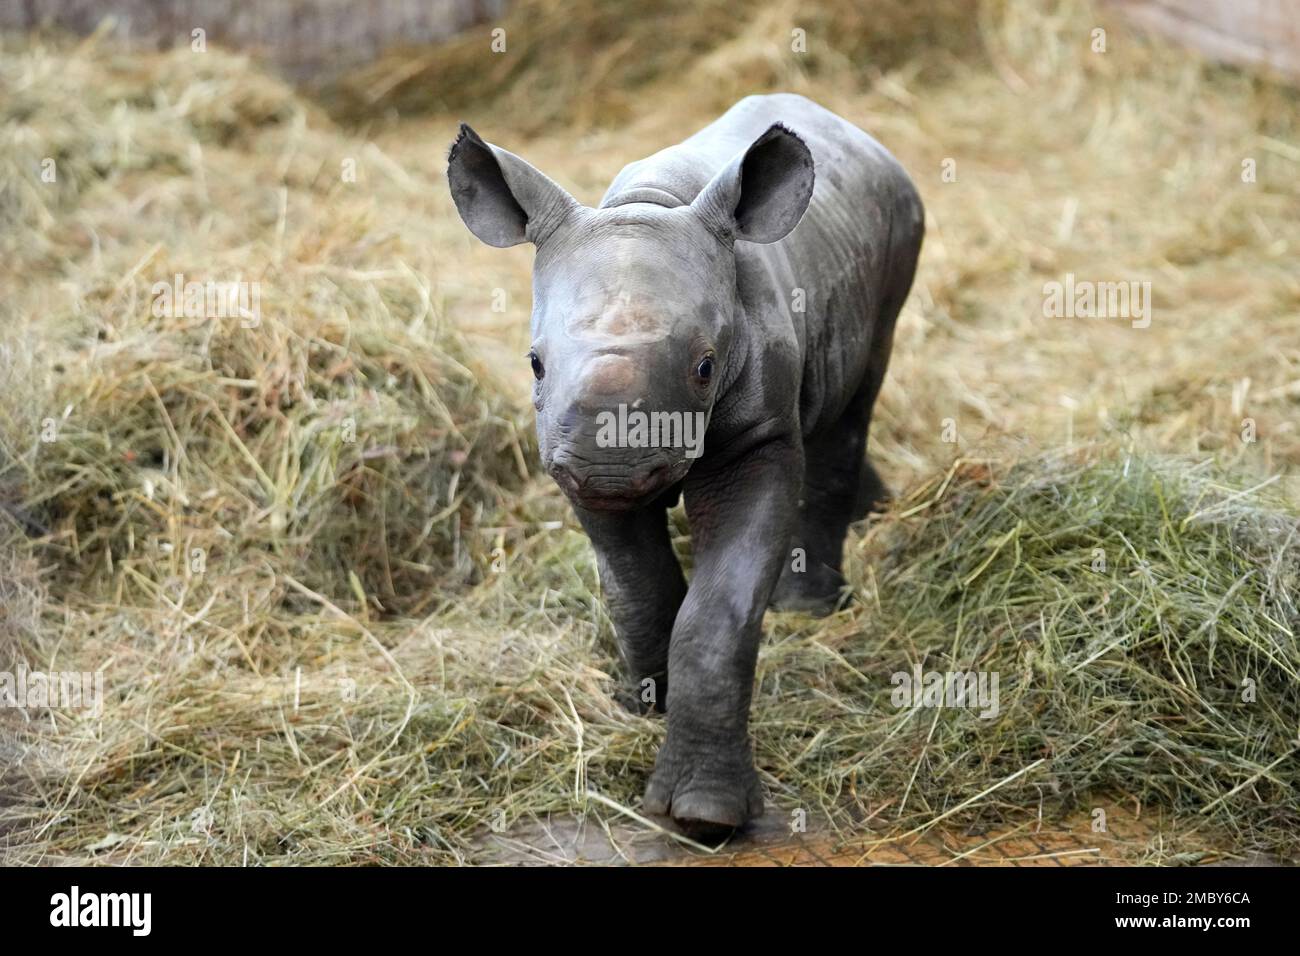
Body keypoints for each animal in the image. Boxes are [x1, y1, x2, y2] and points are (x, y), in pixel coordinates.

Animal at [447, 93, 924, 833]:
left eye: (704, 367)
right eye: (534, 364)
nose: (609, 468)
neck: (651, 203)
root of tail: (861, 137)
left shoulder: (758, 436)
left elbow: (717, 611)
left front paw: (705, 816)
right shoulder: (564, 450)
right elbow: (636, 585)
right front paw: (642, 703)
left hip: (899, 232)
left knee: (854, 401)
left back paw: (809, 609)